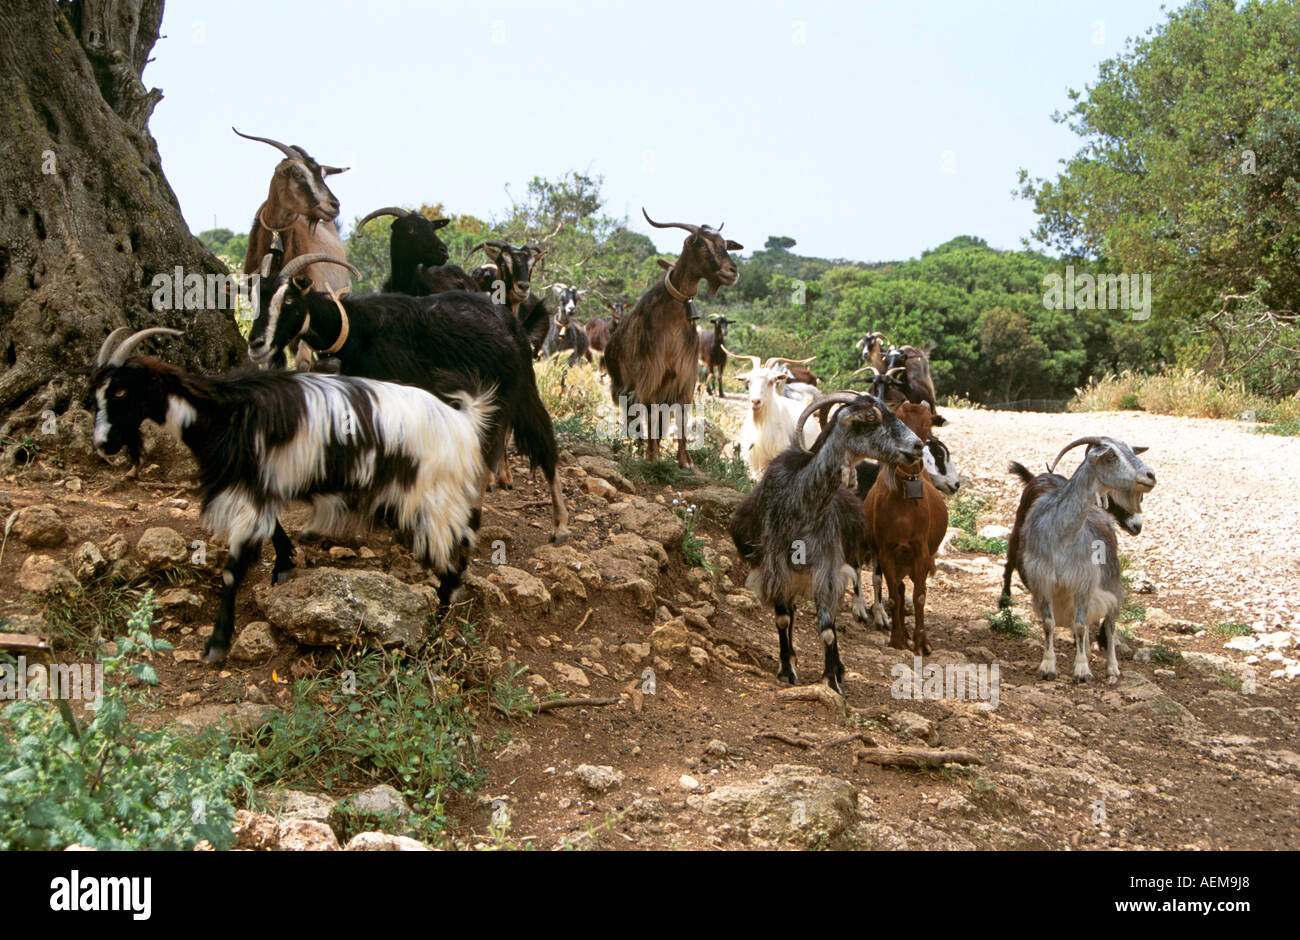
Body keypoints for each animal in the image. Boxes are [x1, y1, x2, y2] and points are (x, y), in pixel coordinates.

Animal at [87, 328, 489, 664]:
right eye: (95, 395)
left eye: (121, 390)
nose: (102, 444)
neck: (221, 411)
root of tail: (463, 424)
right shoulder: (263, 487)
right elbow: (274, 529)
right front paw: (285, 563)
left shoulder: (251, 491)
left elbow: (233, 569)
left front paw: (217, 644)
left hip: (431, 497)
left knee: (453, 559)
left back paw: (436, 626)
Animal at [247, 253, 571, 545]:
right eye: (254, 298)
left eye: (289, 300)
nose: (256, 344)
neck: (355, 327)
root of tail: (512, 324)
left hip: (518, 389)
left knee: (540, 443)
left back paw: (558, 526)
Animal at [605, 210, 742, 468]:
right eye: (700, 242)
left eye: (724, 243)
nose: (732, 271)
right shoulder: (650, 374)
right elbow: (649, 413)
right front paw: (652, 456)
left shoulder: (683, 376)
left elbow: (680, 417)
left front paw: (684, 460)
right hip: (621, 385)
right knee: (633, 419)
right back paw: (638, 448)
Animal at [730, 392, 924, 693]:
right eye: (871, 417)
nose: (918, 445)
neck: (802, 505)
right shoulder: (775, 569)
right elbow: (782, 618)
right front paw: (787, 670)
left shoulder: (827, 569)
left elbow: (828, 629)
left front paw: (831, 679)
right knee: (791, 614)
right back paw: (793, 657)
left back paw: (839, 666)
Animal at [1019, 437, 1155, 682]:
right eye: (1111, 455)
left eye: (1131, 451)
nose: (1150, 476)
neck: (1062, 536)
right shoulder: (1043, 581)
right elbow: (1049, 623)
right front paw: (1047, 666)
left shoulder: (1083, 584)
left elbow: (1081, 626)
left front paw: (1082, 670)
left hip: (1113, 586)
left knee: (1110, 625)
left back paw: (1112, 667)